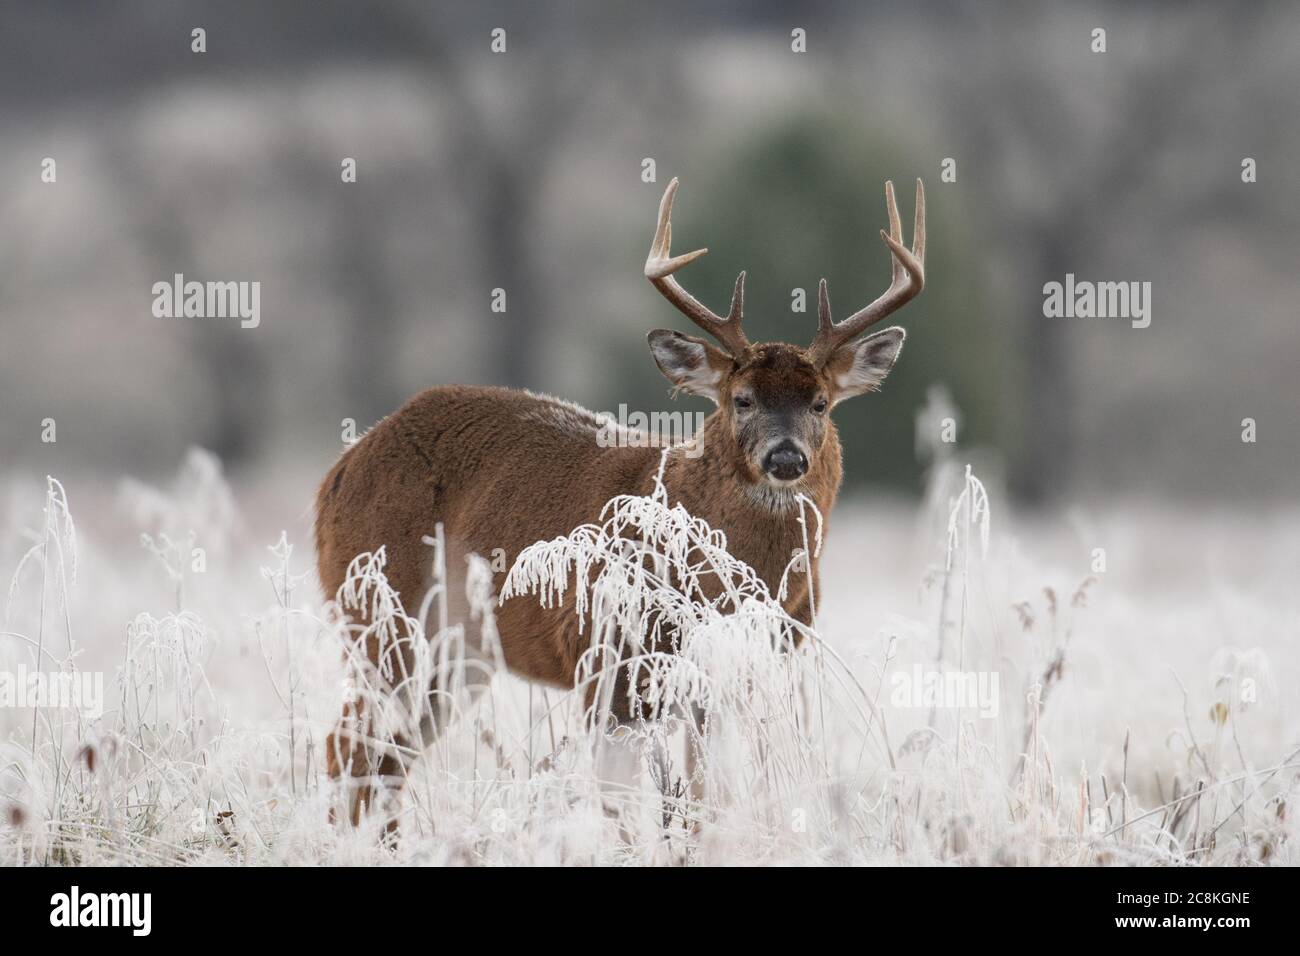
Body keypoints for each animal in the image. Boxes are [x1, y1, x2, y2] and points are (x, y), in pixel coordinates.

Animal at [315, 177, 925, 826]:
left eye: (820, 403)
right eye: (741, 399)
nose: (786, 458)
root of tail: (336, 474)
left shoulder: (736, 679)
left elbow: (701, 802)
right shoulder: (604, 658)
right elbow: (626, 806)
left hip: (457, 654)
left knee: (385, 759)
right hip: (378, 613)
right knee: (346, 748)